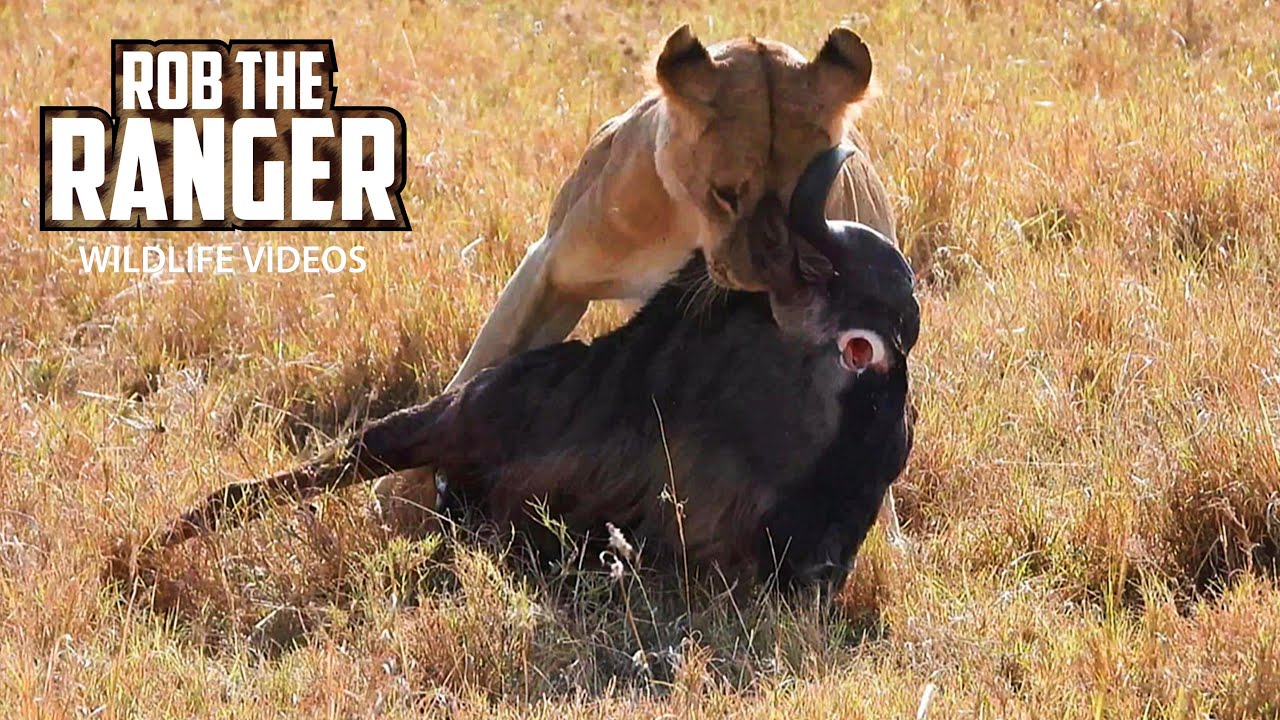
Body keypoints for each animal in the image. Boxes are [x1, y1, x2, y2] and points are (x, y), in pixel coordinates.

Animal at [386, 25, 904, 540]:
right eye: (725, 193)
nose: (771, 276)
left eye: (808, 197)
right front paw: (402, 489)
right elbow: (483, 361)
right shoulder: (550, 267)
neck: (691, 233)